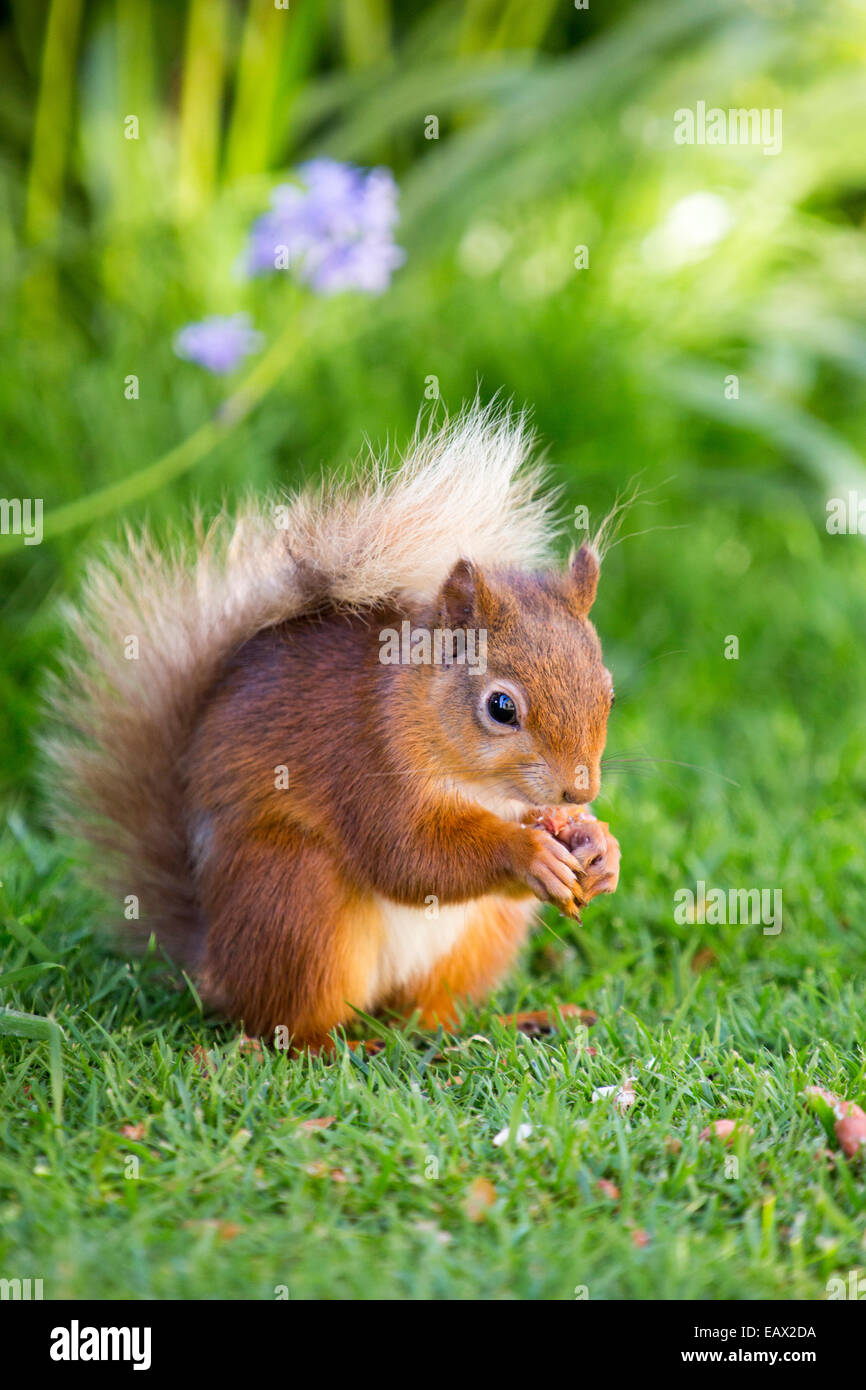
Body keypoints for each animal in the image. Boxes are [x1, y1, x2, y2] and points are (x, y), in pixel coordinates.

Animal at [48, 405, 620, 1050]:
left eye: (608, 692)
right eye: (501, 708)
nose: (580, 790)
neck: (483, 788)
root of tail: (212, 963)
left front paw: (600, 845)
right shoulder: (361, 762)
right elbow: (408, 856)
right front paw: (529, 852)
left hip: (480, 936)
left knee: (429, 1013)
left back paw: (501, 1024)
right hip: (296, 900)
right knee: (290, 1029)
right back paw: (349, 1045)